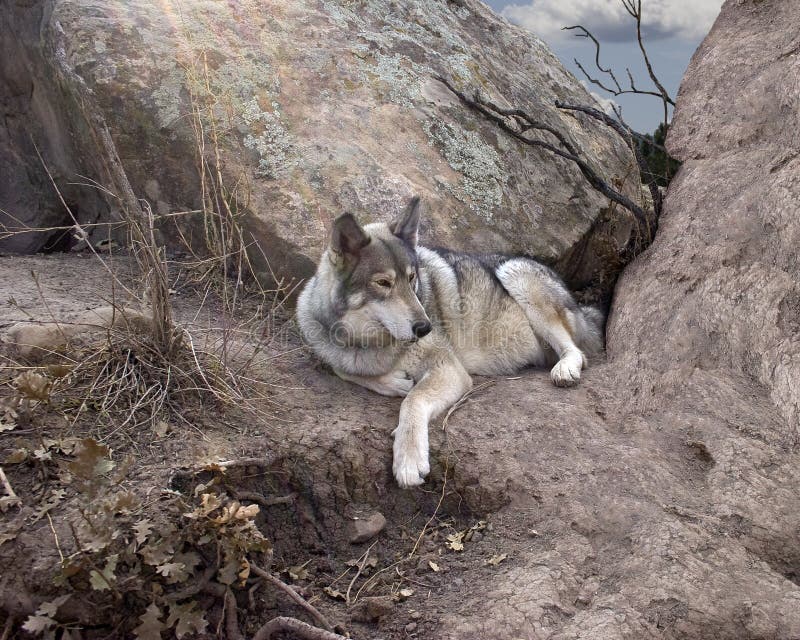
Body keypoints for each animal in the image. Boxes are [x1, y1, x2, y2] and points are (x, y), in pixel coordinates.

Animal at [296, 197, 603, 488]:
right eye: (383, 283)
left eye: (412, 278)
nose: (425, 327)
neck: (367, 342)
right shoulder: (335, 353)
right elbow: (344, 370)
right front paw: (395, 382)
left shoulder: (451, 369)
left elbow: (413, 400)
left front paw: (408, 458)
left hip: (516, 275)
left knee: (577, 351)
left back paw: (565, 369)